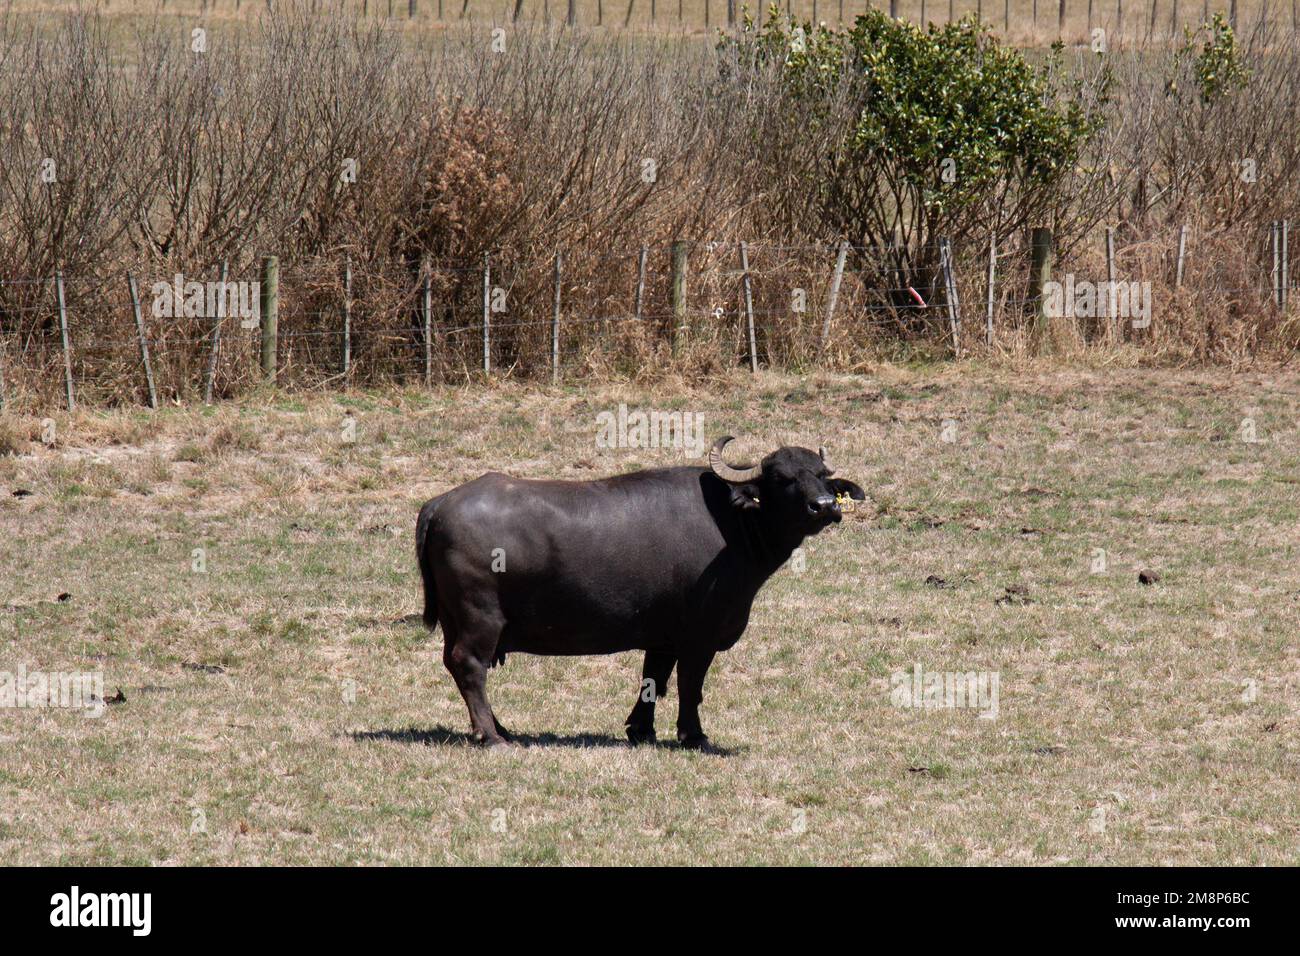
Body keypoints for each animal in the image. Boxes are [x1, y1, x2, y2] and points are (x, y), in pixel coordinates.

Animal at [415, 435, 865, 749]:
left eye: (822, 476)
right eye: (781, 479)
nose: (825, 506)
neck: (732, 524)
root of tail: (440, 503)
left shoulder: (663, 635)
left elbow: (655, 677)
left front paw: (641, 730)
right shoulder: (700, 636)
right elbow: (689, 684)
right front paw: (694, 736)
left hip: (457, 620)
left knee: (455, 664)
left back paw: (501, 728)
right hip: (480, 618)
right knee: (470, 665)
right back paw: (493, 737)